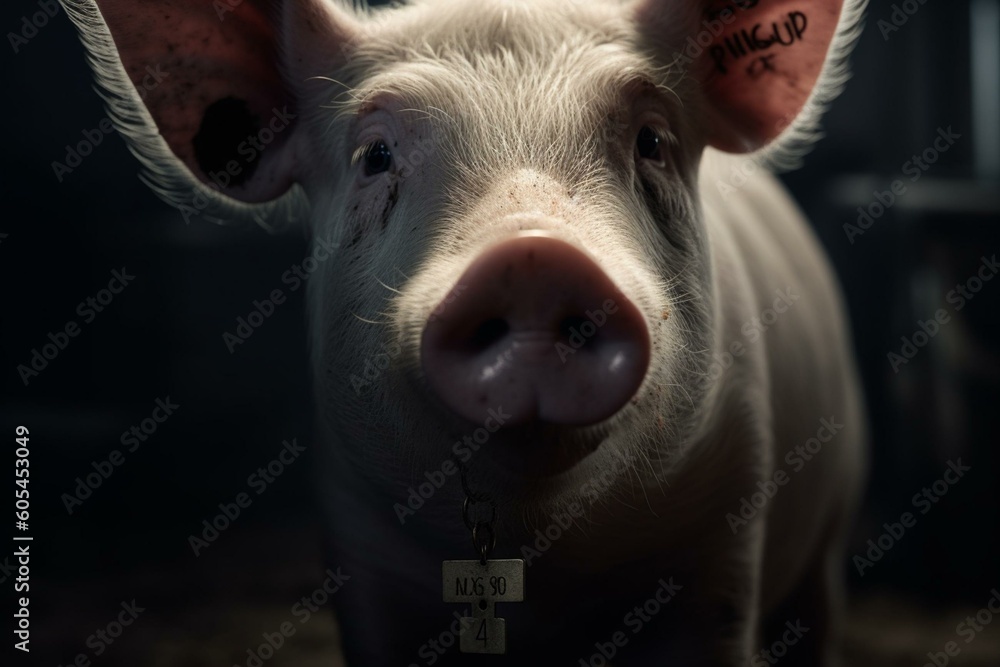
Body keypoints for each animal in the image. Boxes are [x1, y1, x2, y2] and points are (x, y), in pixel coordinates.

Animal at [61, 0, 869, 664]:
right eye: (374, 156)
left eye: (652, 141)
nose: (533, 256)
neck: (538, 546)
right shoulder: (361, 551)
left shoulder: (723, 540)